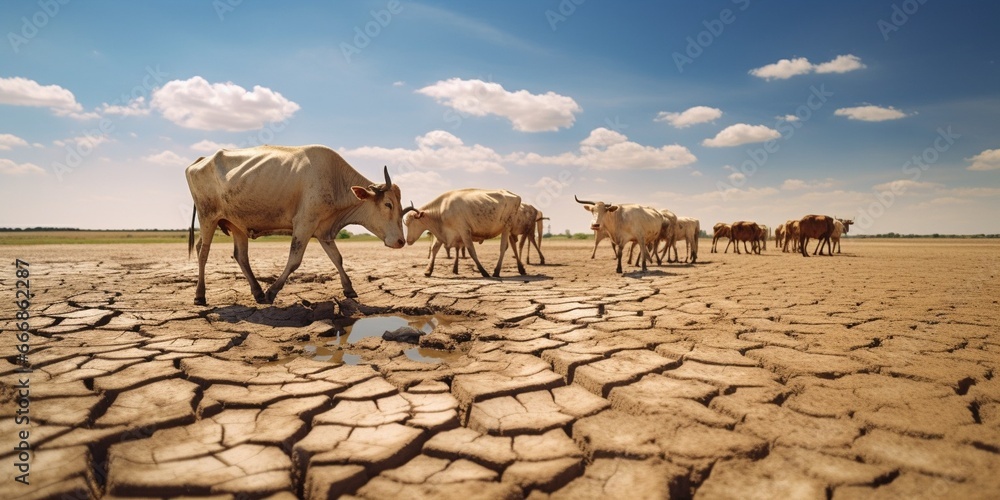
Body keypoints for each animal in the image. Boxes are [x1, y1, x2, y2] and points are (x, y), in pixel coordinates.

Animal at [185, 145, 410, 306]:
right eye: (388, 204)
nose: (401, 241)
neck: (335, 181)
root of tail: (201, 160)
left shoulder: (323, 229)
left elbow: (337, 258)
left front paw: (349, 289)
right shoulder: (304, 223)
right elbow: (294, 260)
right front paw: (272, 291)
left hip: (236, 224)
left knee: (240, 256)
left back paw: (257, 292)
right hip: (207, 217)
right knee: (203, 251)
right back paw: (200, 296)